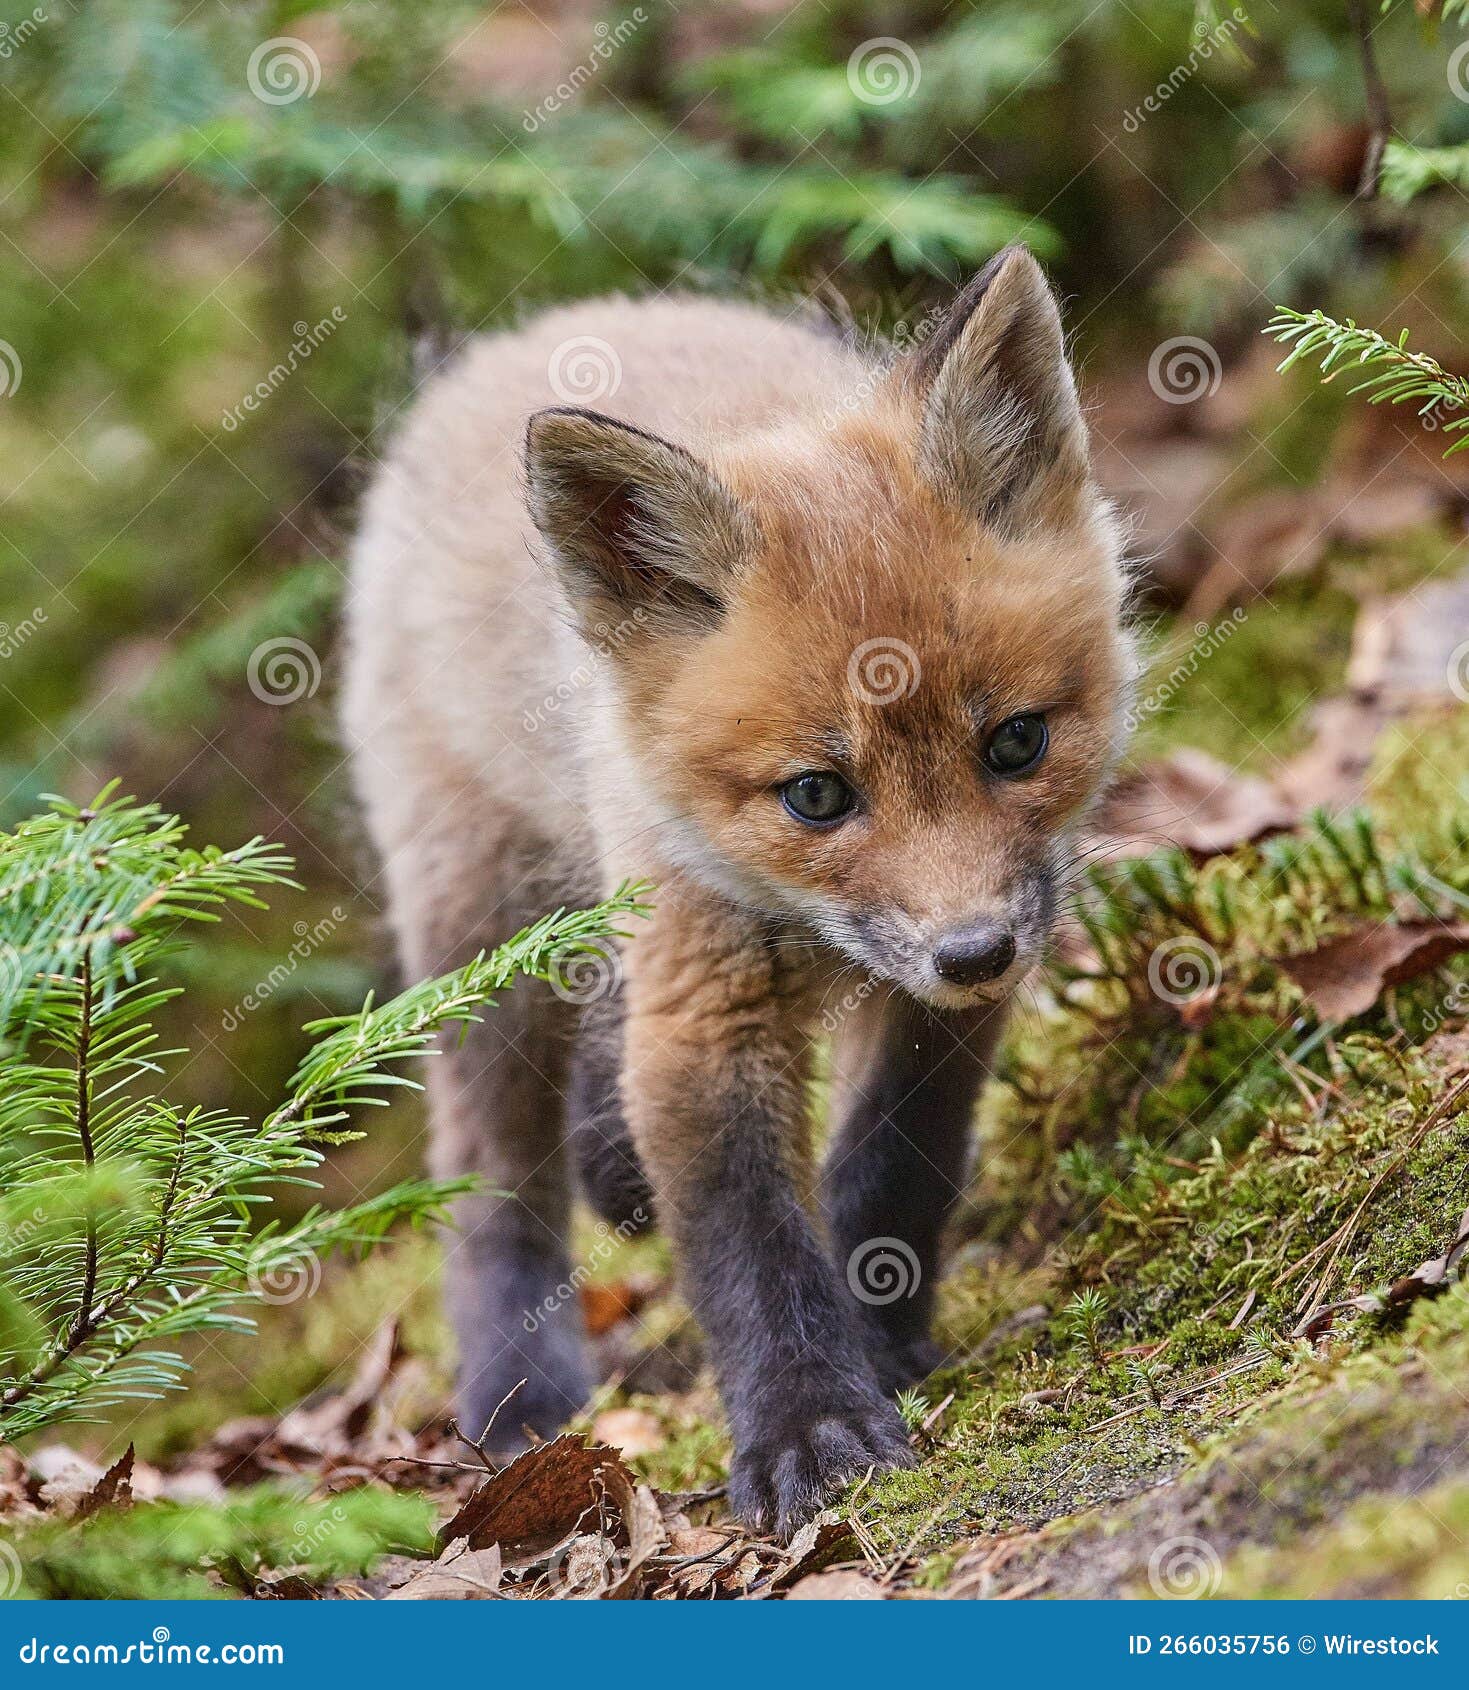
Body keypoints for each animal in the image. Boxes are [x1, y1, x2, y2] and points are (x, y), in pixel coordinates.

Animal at [342, 246, 1133, 1537]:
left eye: (1016, 742)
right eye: (815, 795)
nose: (973, 953)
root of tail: (522, 337)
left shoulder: (948, 975)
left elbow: (897, 1153)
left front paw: (881, 1324)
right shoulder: (703, 1002)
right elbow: (748, 1248)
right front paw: (810, 1429)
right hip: (478, 935)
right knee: (494, 1179)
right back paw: (517, 1389)